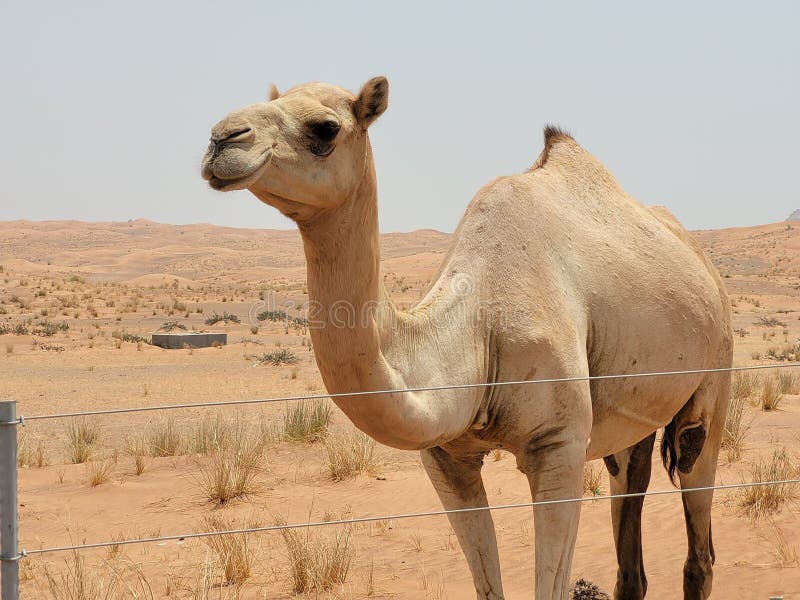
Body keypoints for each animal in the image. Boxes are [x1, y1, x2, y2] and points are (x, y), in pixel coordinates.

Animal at [201, 77, 732, 600]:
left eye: (325, 127)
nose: (221, 139)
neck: (478, 329)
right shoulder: (445, 458)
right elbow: (487, 583)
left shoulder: (558, 446)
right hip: (631, 409)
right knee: (632, 497)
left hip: (714, 377)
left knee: (698, 529)